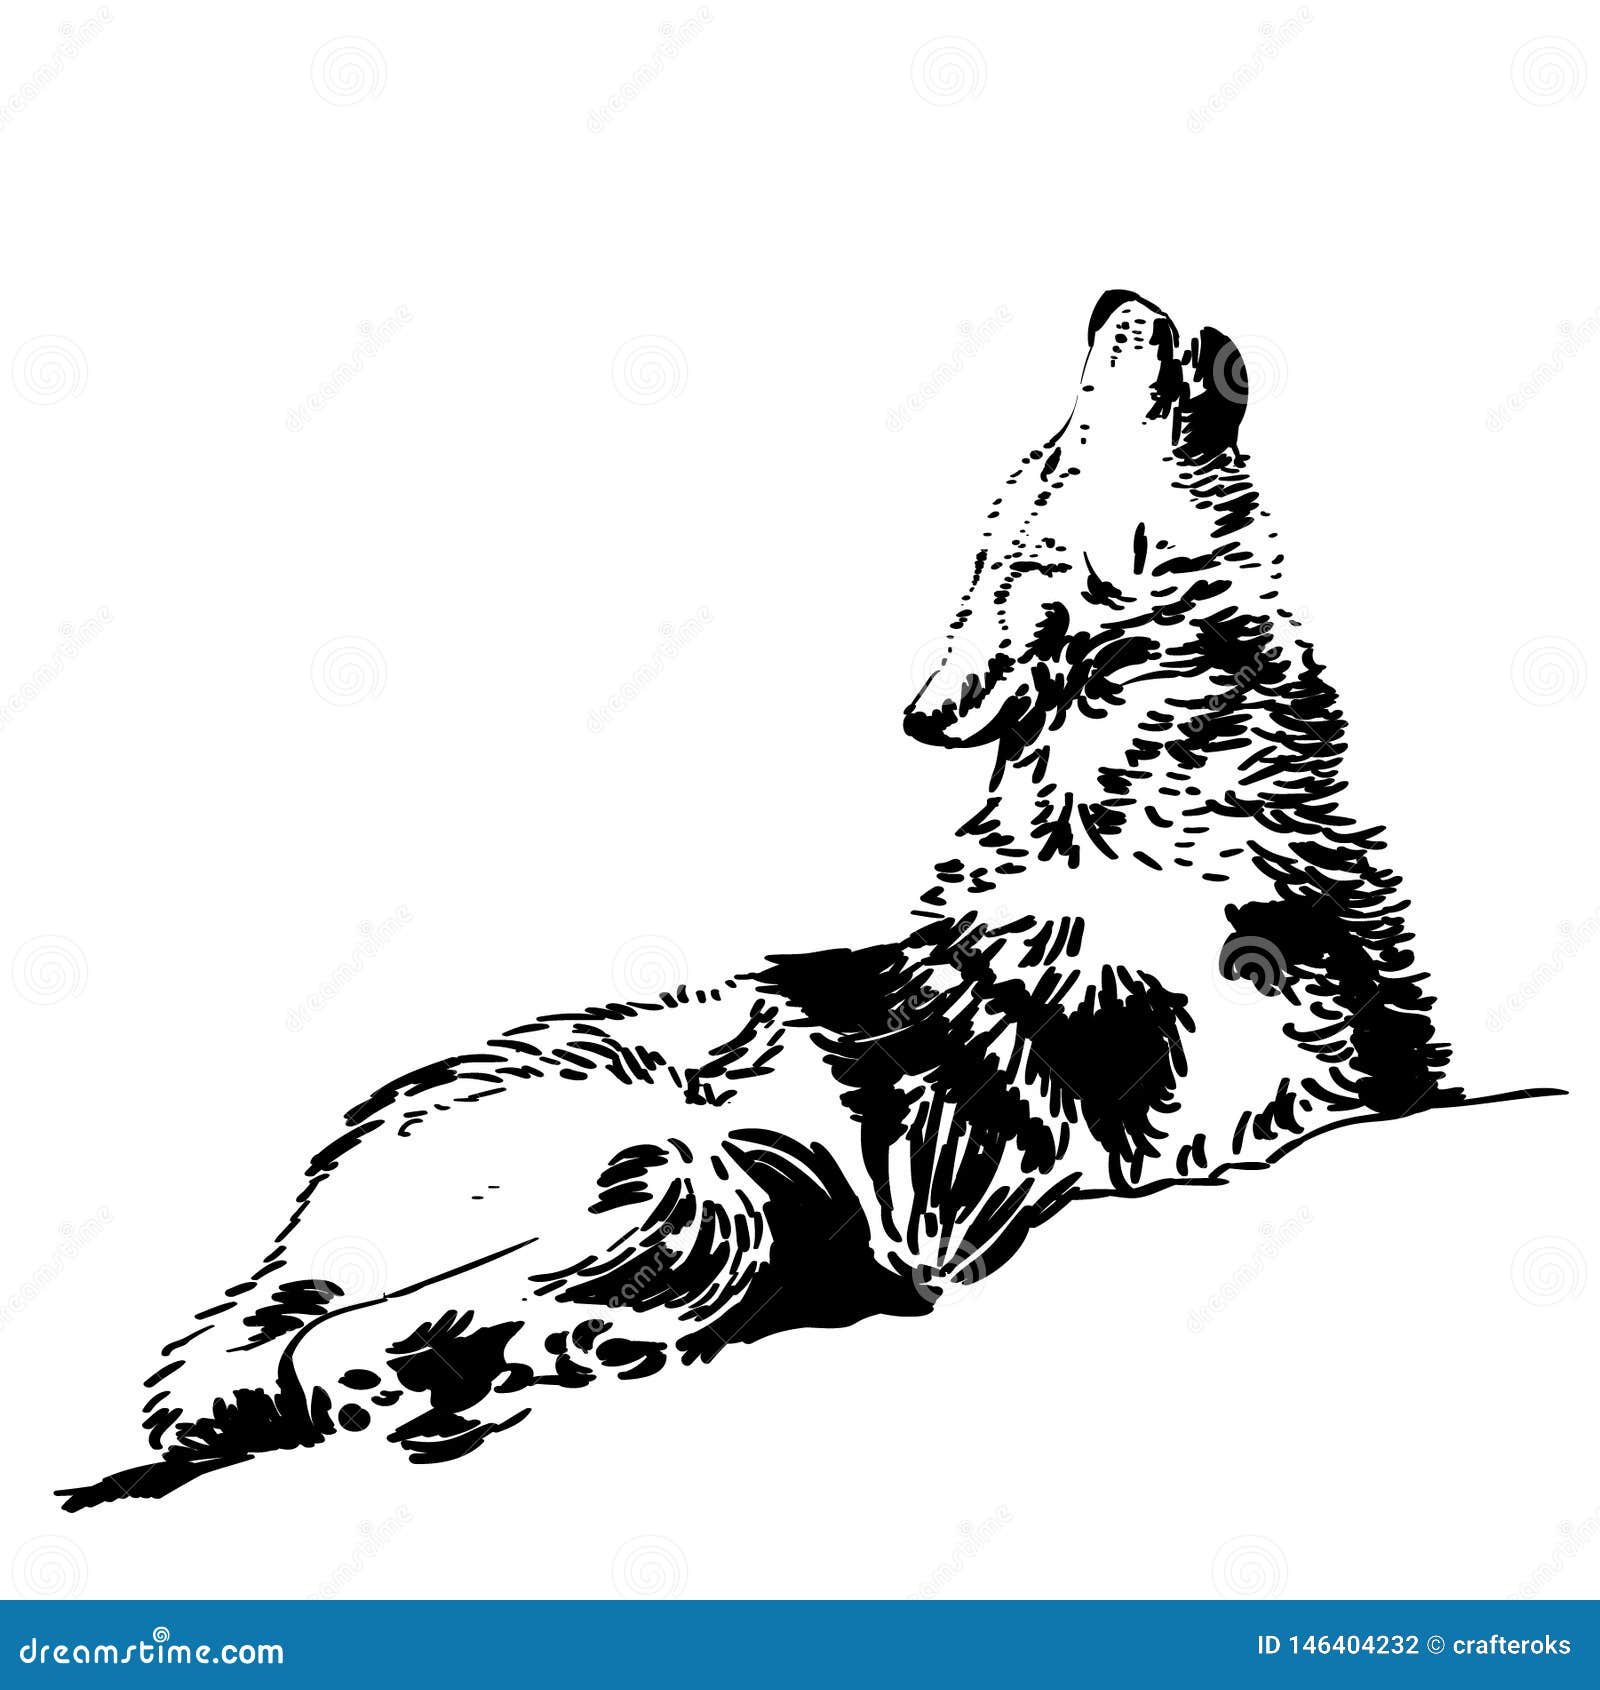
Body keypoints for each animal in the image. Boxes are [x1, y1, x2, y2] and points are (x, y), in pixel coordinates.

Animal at [59, 289, 1546, 1510]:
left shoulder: (1369, 1075)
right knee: (327, 1349)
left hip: (728, 1188)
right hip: (682, 1151)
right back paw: (455, 1372)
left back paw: (558, 1353)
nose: (1109, 294)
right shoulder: (1222, 1132)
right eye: (1054, 456)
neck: (1163, 781)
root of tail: (311, 1196)